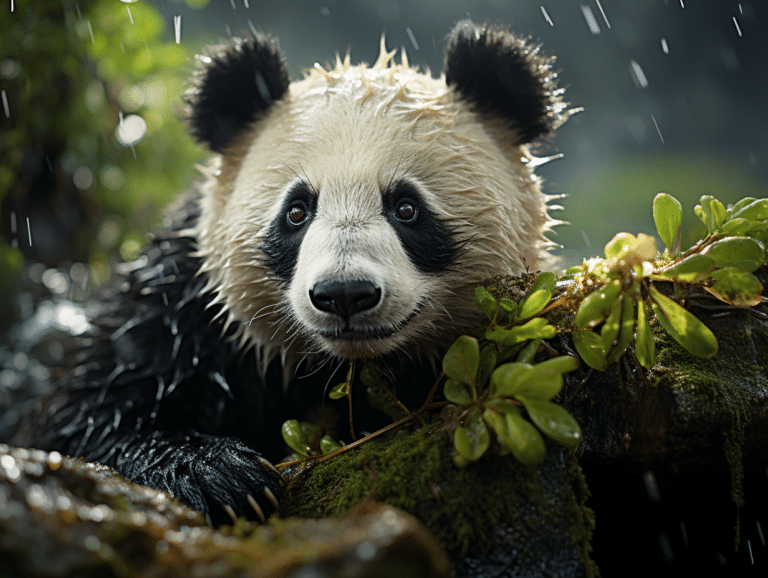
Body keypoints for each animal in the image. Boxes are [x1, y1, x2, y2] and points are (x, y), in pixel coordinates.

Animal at [22, 21, 569, 527]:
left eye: (407, 208)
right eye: (297, 211)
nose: (345, 294)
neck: (340, 366)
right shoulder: (181, 309)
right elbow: (89, 418)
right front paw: (219, 475)